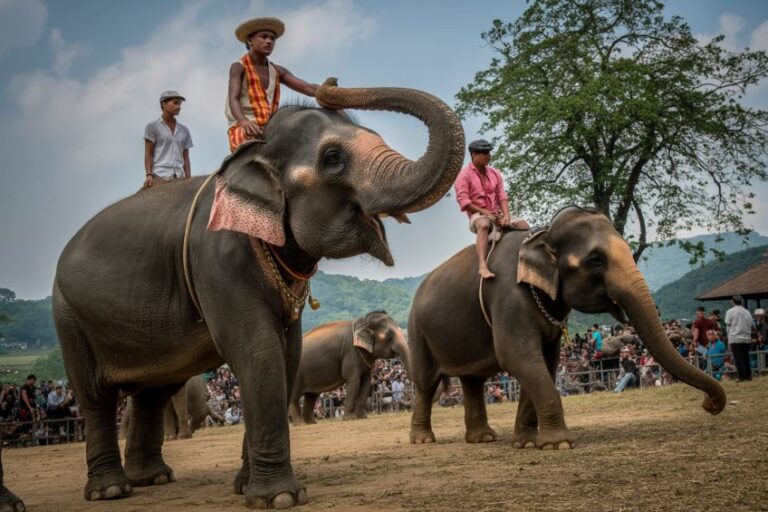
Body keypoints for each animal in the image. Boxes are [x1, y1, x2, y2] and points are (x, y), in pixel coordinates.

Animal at [52, 78, 465, 508]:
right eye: (333, 158)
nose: (329, 85)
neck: (254, 155)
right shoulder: (216, 261)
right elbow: (258, 350)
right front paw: (280, 497)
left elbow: (286, 355)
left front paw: (245, 487)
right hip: (69, 315)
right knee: (95, 395)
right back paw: (111, 490)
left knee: (153, 391)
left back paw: (154, 478)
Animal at [407, 206, 726, 449]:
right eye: (596, 261)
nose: (709, 405)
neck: (544, 233)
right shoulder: (508, 297)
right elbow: (519, 357)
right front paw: (559, 444)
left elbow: (545, 362)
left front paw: (526, 442)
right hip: (416, 332)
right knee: (425, 382)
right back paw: (424, 440)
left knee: (472, 381)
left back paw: (483, 438)